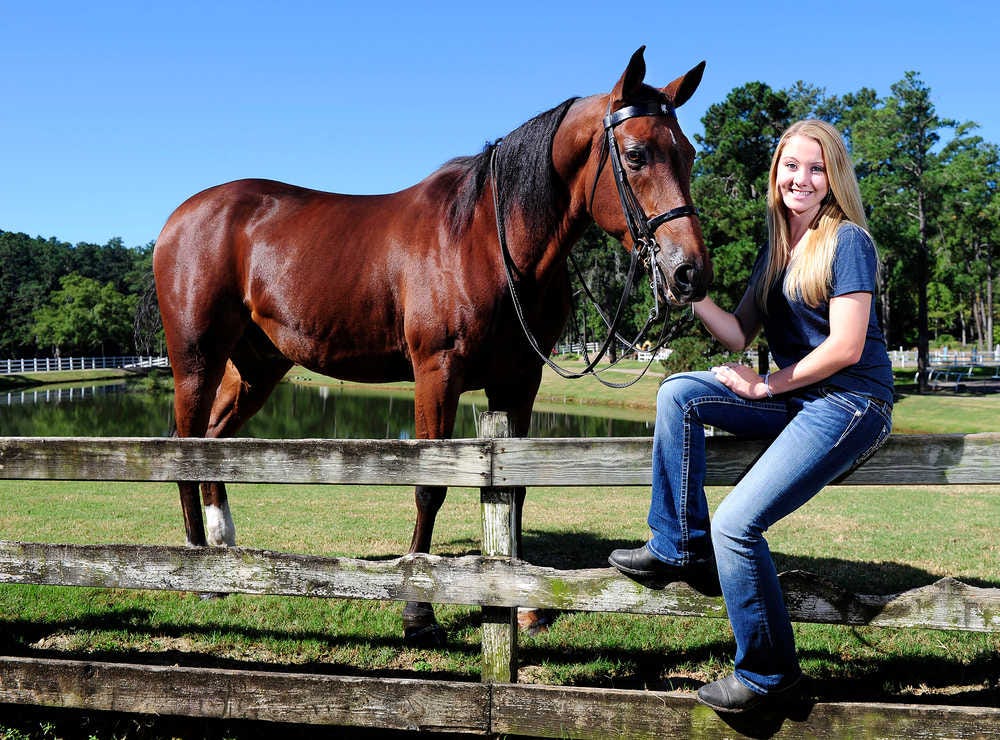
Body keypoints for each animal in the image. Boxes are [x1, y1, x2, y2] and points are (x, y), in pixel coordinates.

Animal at [152, 46, 711, 645]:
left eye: (688, 153)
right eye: (636, 155)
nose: (690, 272)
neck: (488, 239)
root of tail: (181, 217)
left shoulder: (519, 382)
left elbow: (515, 488)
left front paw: (522, 606)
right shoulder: (437, 375)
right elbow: (430, 488)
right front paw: (418, 610)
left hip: (255, 367)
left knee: (213, 440)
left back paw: (223, 553)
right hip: (197, 360)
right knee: (184, 443)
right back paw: (196, 569)